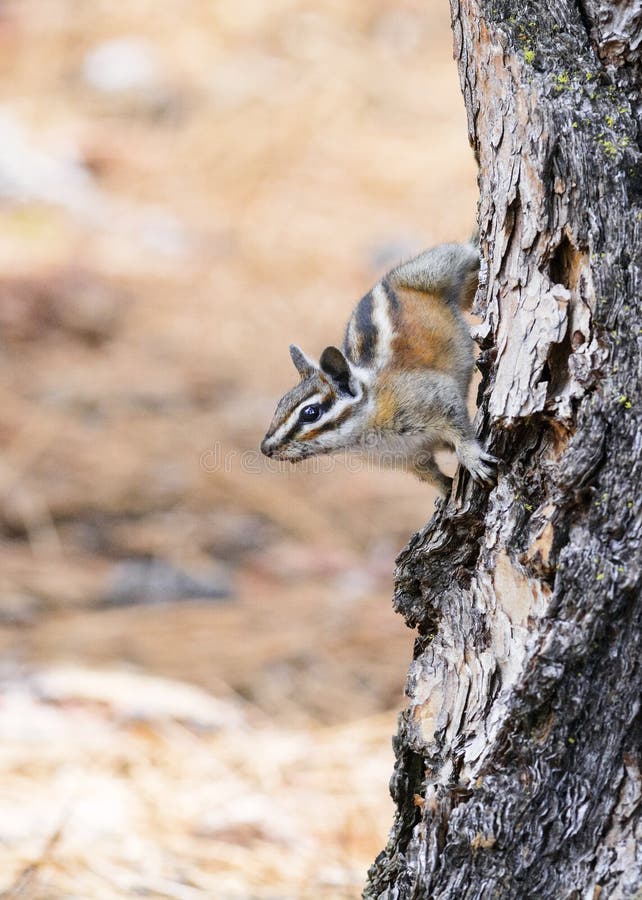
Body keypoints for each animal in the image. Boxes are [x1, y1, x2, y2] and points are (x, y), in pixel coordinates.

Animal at [260, 241, 496, 497]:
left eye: (310, 413)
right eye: (280, 404)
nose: (265, 448)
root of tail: (388, 280)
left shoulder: (435, 397)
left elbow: (460, 427)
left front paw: (472, 457)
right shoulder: (409, 457)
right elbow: (429, 474)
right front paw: (445, 492)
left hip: (436, 267)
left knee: (462, 251)